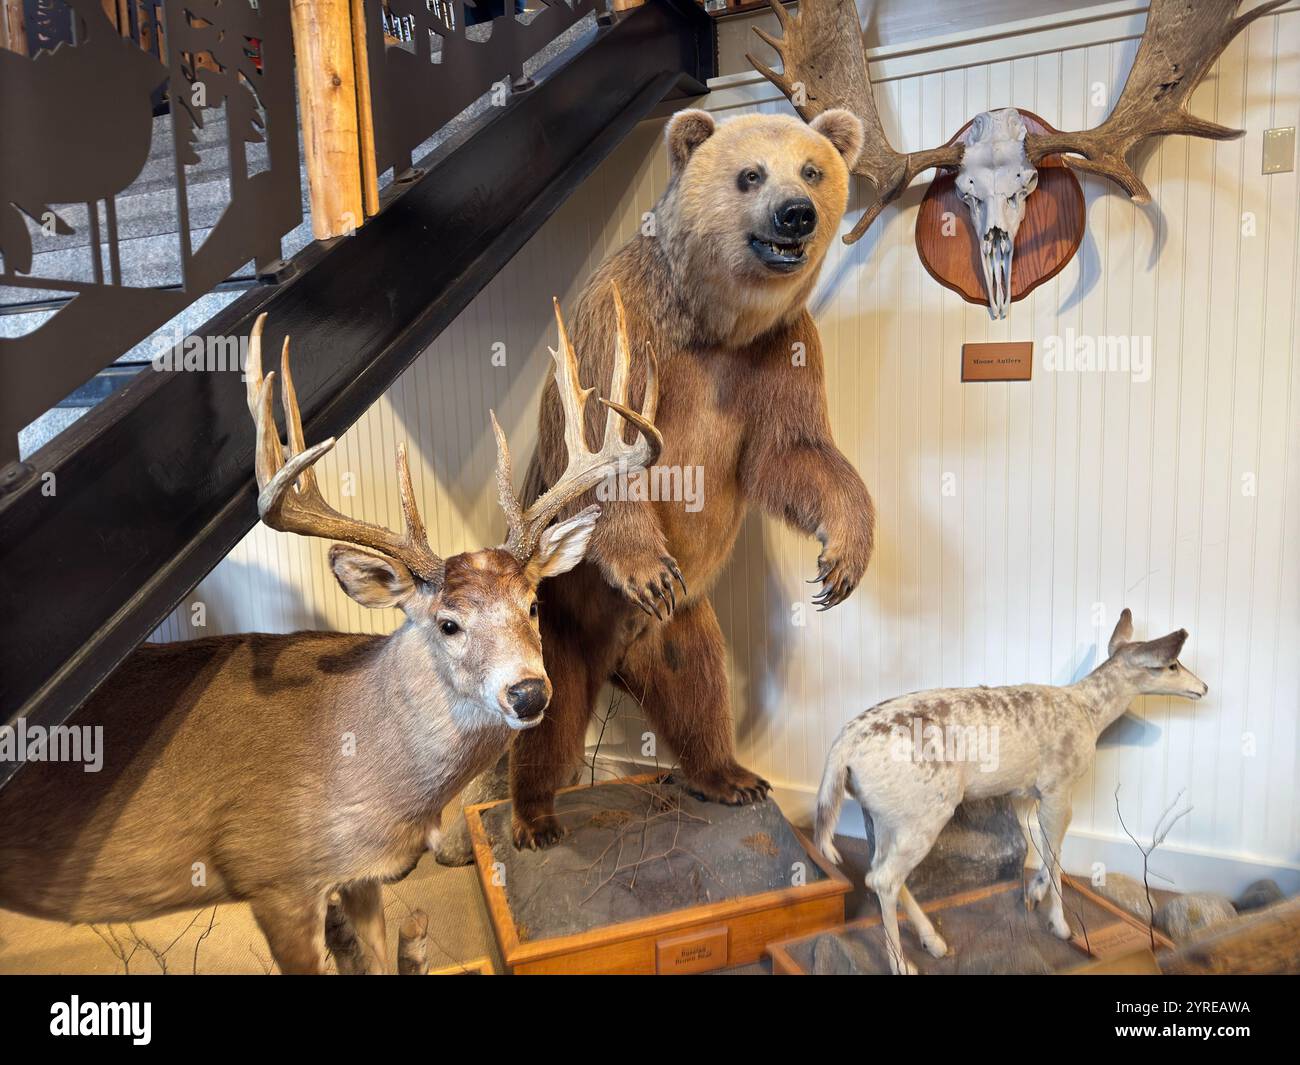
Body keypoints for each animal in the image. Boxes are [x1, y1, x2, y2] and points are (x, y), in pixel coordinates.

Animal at [0, 284, 661, 974]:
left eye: (532, 604)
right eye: (448, 623)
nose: (529, 692)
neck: (357, 767)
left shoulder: (361, 872)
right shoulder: (274, 877)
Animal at [509, 106, 878, 848]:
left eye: (813, 169)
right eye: (750, 174)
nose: (796, 214)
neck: (714, 325)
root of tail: (614, 658)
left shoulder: (781, 351)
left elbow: (793, 453)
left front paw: (842, 559)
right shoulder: (621, 328)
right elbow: (601, 450)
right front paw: (647, 567)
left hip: (680, 627)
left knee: (700, 684)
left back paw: (731, 775)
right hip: (554, 623)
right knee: (548, 721)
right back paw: (533, 816)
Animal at [814, 609, 1208, 974]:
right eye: (1172, 665)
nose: (1203, 688)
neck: (1088, 714)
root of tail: (841, 749)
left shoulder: (1023, 790)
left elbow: (1037, 842)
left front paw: (1033, 891)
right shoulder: (1057, 784)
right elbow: (1055, 849)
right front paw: (1060, 924)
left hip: (884, 813)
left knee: (878, 871)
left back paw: (934, 941)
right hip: (925, 811)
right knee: (883, 878)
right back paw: (903, 964)